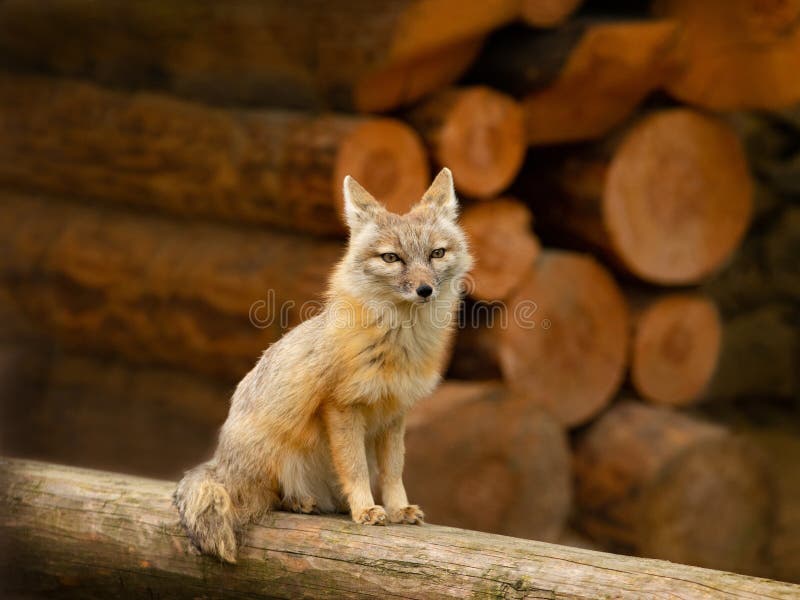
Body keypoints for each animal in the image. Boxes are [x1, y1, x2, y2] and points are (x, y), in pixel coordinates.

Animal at [174, 167, 473, 563]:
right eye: (391, 258)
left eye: (436, 253)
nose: (425, 290)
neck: (397, 346)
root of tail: (221, 462)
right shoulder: (342, 407)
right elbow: (355, 468)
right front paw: (366, 509)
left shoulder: (395, 414)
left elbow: (393, 471)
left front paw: (397, 509)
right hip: (274, 450)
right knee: (266, 497)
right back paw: (302, 501)